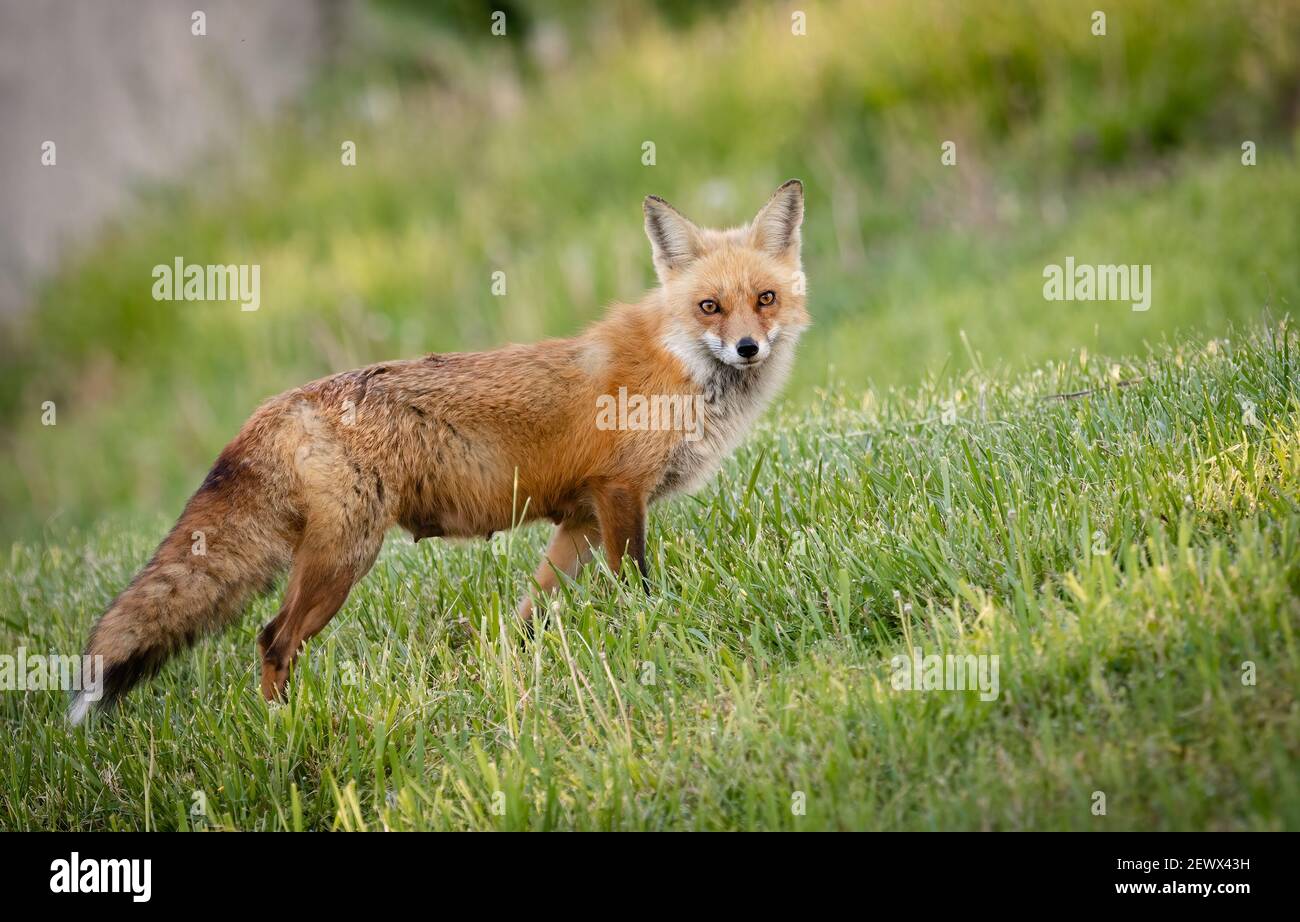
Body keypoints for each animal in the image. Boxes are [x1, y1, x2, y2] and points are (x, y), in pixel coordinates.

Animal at [70, 179, 808, 723]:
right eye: (710, 307)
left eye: (764, 298)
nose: (749, 348)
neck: (683, 367)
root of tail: (279, 404)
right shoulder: (620, 493)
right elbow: (637, 585)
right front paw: (651, 634)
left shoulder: (581, 518)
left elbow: (529, 615)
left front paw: (511, 669)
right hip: (342, 560)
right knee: (271, 640)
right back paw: (284, 729)